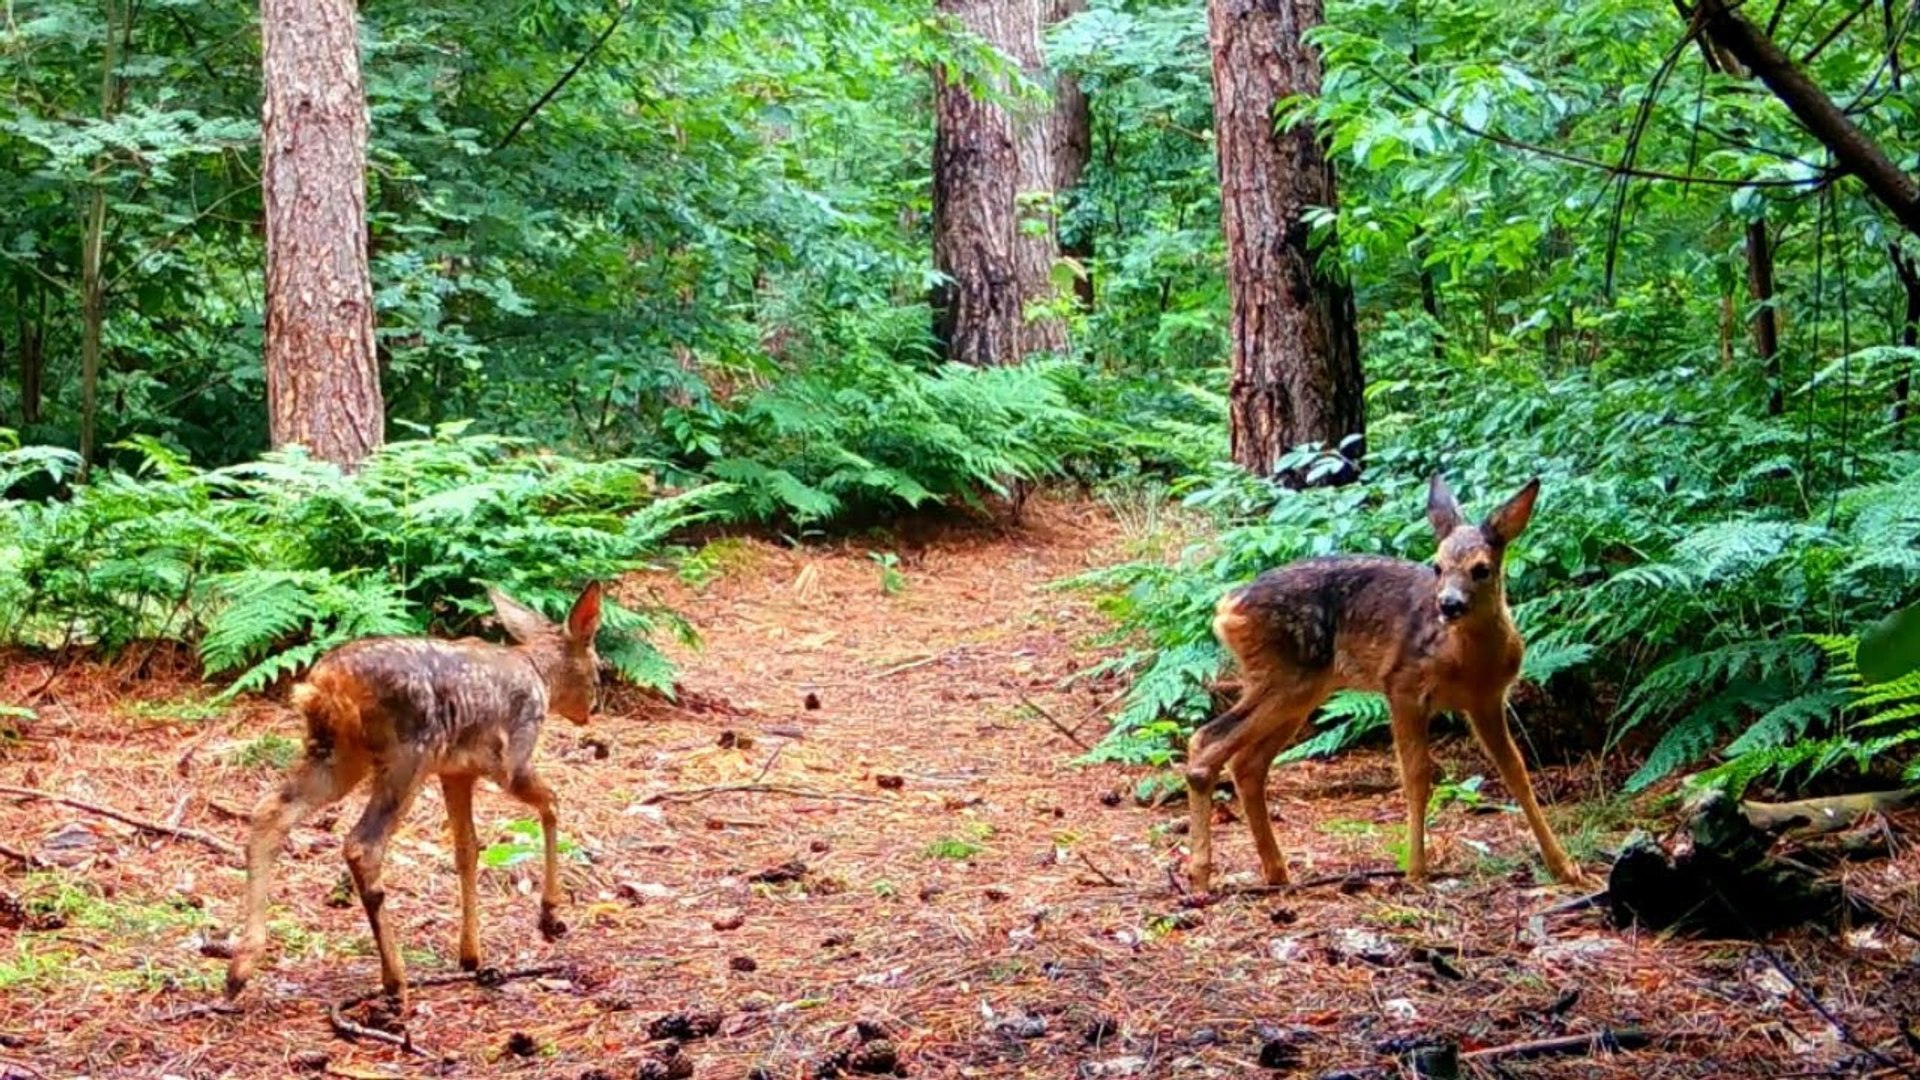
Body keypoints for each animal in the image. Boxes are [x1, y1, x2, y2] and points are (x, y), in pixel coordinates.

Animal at [224, 581, 604, 1009]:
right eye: (599, 667)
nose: (591, 708)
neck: (541, 676)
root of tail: (325, 687)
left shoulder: (456, 771)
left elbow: (467, 849)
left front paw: (471, 954)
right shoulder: (512, 761)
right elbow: (552, 802)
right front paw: (550, 915)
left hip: (336, 757)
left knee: (269, 810)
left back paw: (240, 967)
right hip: (405, 756)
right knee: (363, 844)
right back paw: (395, 979)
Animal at [1183, 476, 1584, 894]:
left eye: (1482, 569)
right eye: (1437, 566)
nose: (1448, 604)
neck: (1466, 662)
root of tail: (1225, 609)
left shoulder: (1487, 700)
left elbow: (1517, 772)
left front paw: (1566, 869)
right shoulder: (1403, 686)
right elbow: (1417, 776)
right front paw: (1416, 872)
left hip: (1299, 691)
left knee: (1248, 762)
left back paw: (1277, 871)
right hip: (1285, 678)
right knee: (1208, 740)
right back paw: (1201, 874)